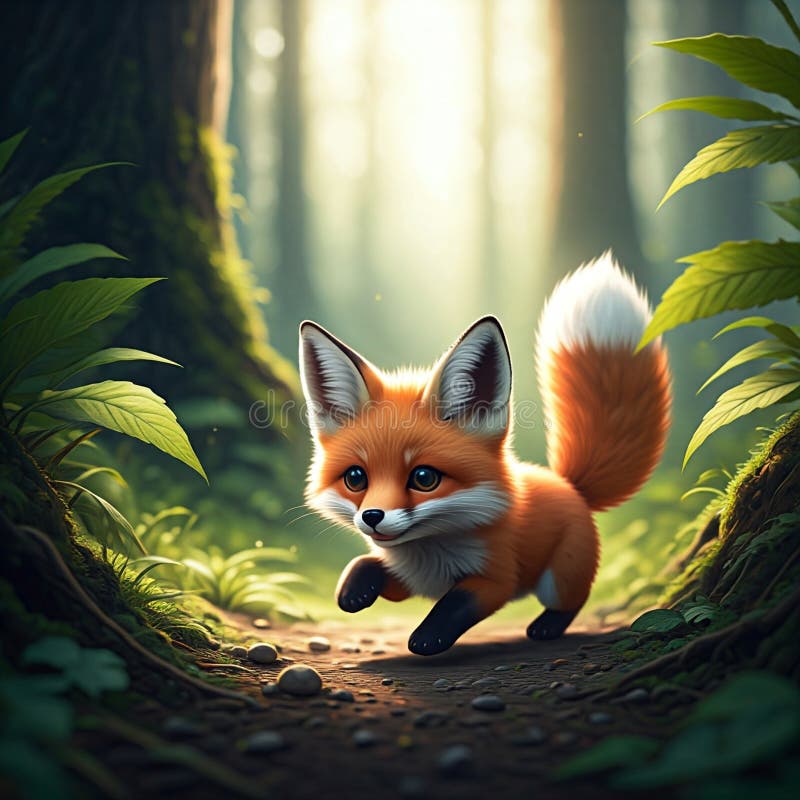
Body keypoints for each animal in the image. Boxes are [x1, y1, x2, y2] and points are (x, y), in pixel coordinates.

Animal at [298, 252, 671, 656]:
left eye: (424, 478)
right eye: (355, 478)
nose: (372, 517)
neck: (429, 556)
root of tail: (569, 484)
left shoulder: (496, 578)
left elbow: (456, 603)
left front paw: (428, 638)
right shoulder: (408, 580)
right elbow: (368, 564)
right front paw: (352, 590)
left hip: (560, 576)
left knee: (575, 599)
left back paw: (547, 627)